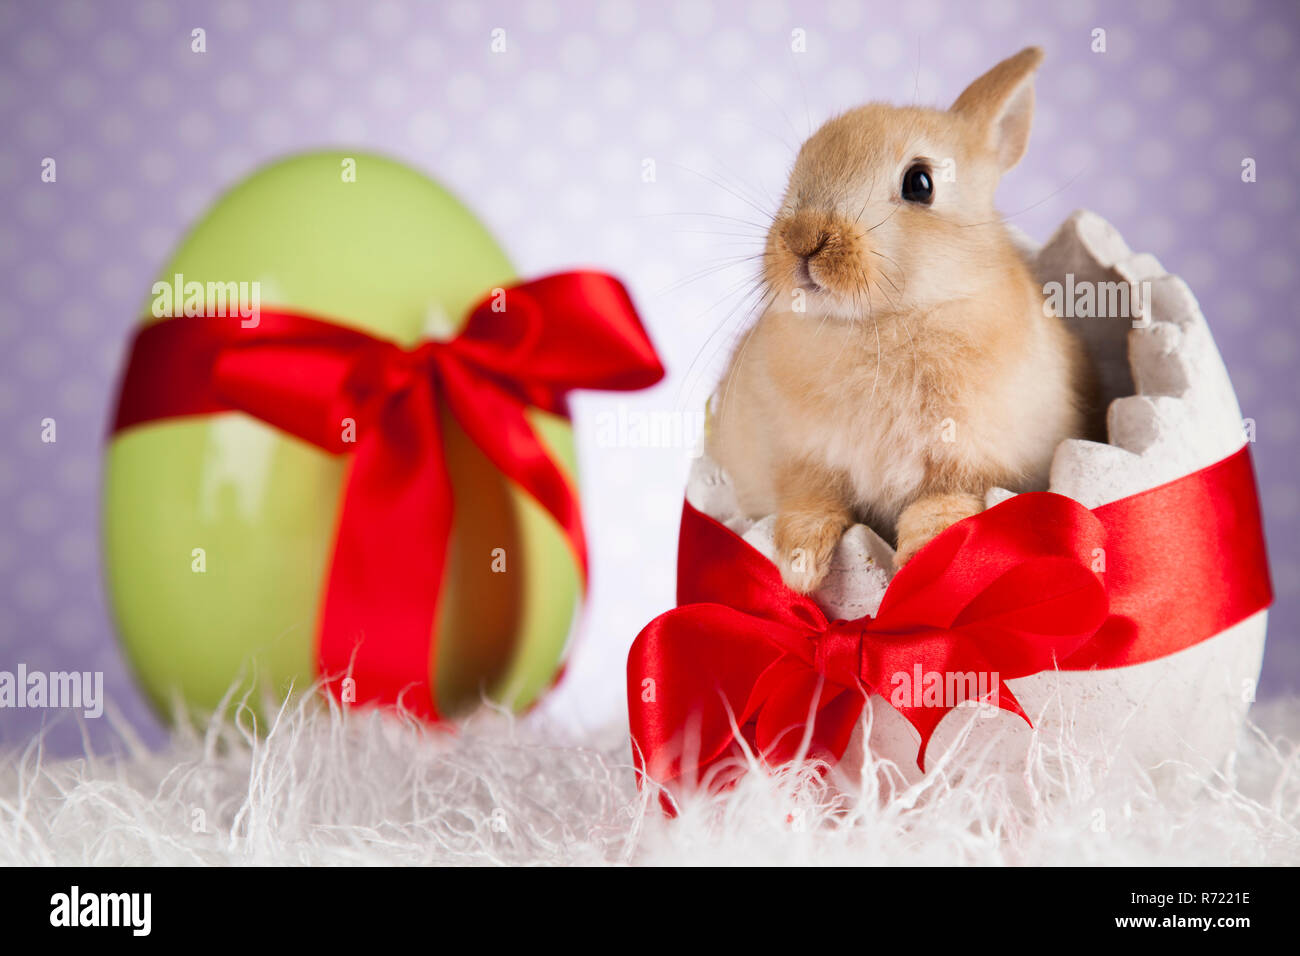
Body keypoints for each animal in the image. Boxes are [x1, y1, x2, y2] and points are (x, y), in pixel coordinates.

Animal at [708, 47, 1094, 594]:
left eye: (920, 183)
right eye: (799, 165)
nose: (803, 240)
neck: (886, 321)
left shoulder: (970, 465)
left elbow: (942, 503)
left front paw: (921, 562)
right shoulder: (803, 463)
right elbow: (809, 501)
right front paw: (799, 570)